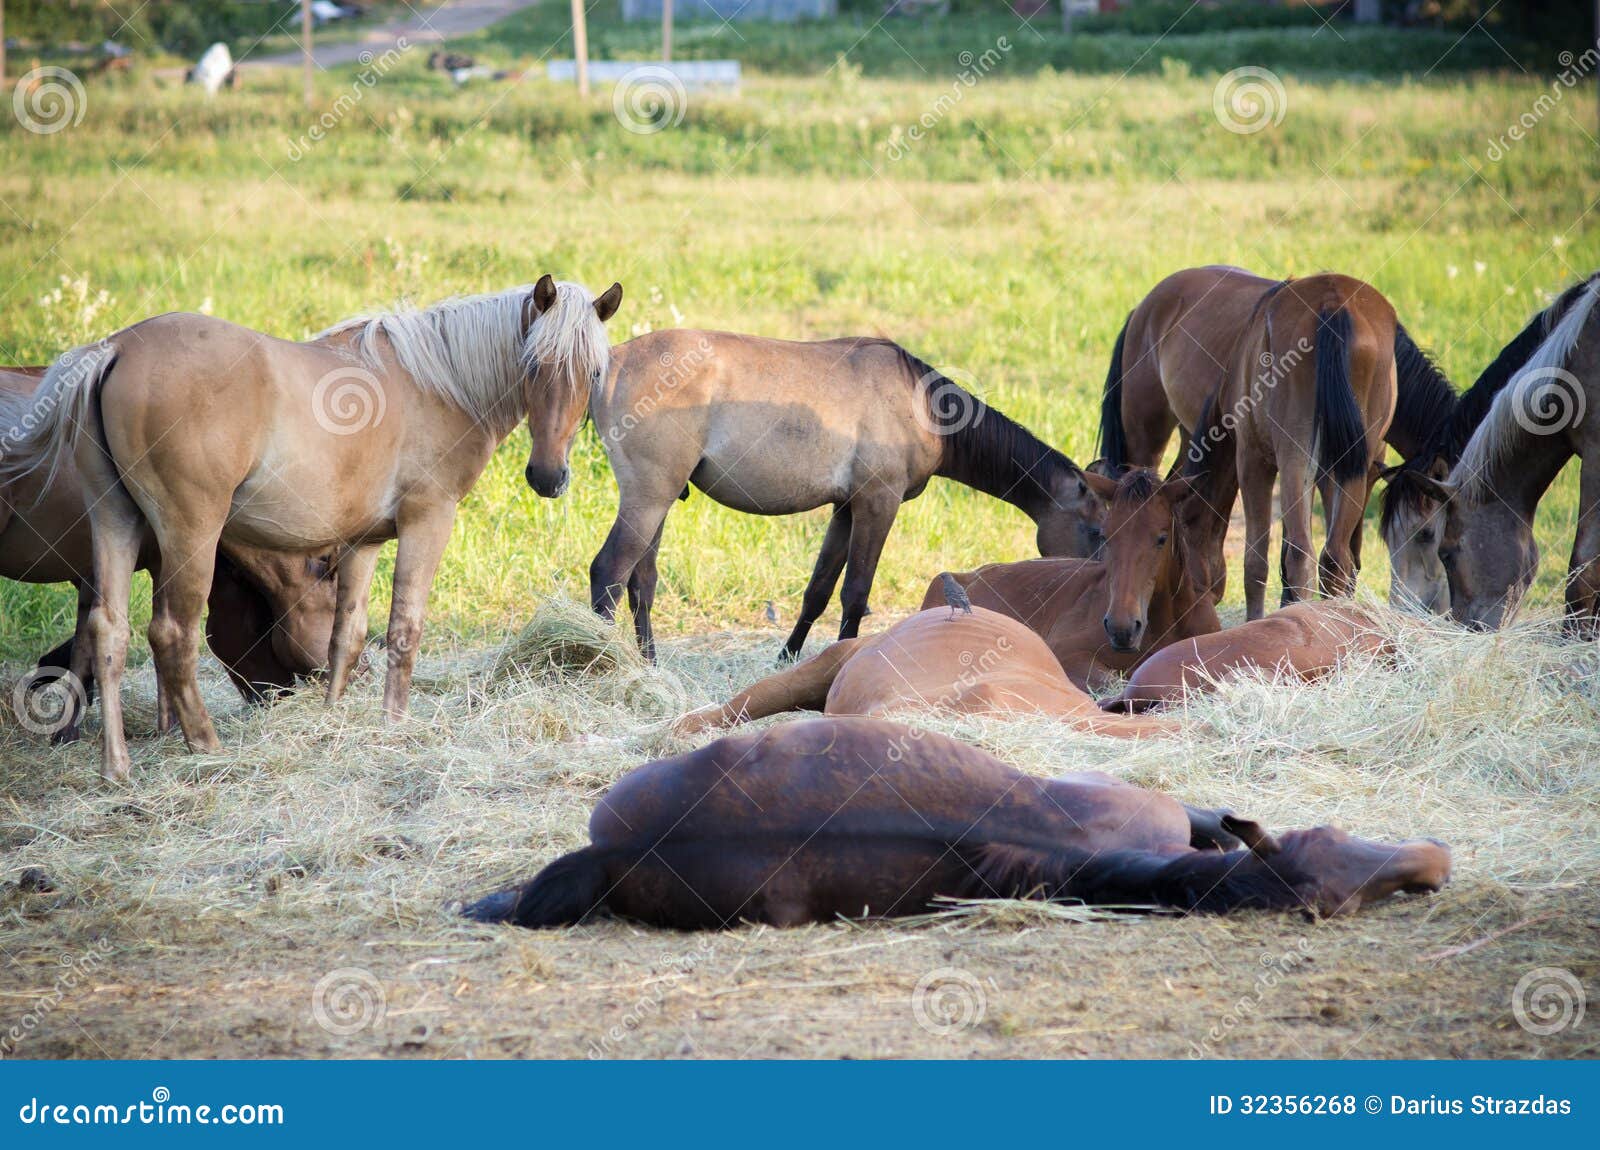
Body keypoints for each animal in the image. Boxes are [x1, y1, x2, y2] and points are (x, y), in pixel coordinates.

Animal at [1, 366, 339, 743]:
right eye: (264, 627)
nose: (280, 696)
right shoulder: (160, 564)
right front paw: (170, 725)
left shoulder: (90, 573)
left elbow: (85, 645)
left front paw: (68, 725)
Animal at [590, 330, 1108, 662]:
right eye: (1096, 530)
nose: (1097, 584)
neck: (921, 405)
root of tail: (608, 362)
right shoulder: (878, 503)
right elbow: (855, 593)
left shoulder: (844, 508)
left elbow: (818, 592)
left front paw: (788, 659)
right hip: (648, 499)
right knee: (608, 572)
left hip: (659, 502)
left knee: (640, 582)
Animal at [1099, 266, 1456, 610]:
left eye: (1427, 534)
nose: (1426, 607)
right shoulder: (1317, 466)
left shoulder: (1285, 463)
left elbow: (1273, 561)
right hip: (1154, 436)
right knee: (1321, 556)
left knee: (1318, 556)